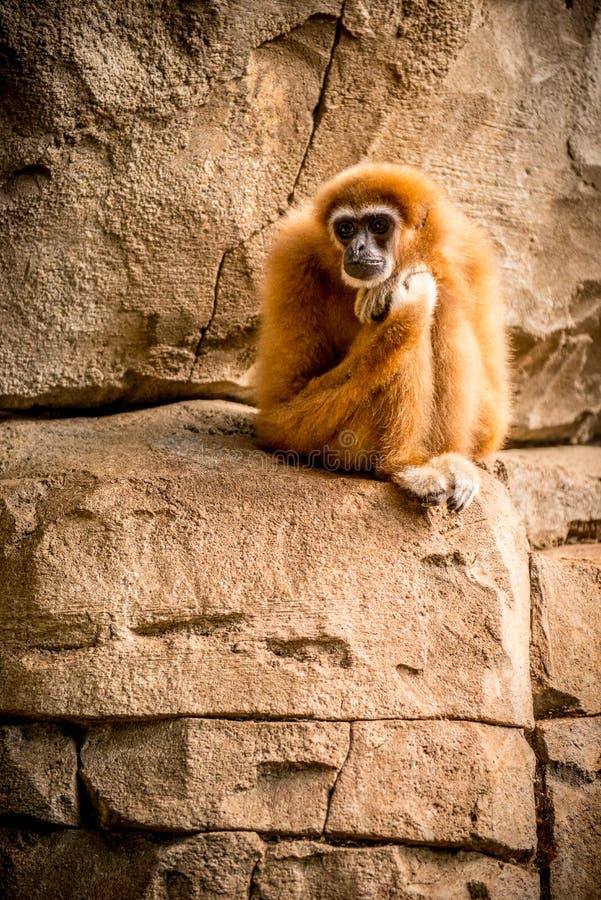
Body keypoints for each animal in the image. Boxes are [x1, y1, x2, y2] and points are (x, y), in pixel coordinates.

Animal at [254, 162, 510, 512]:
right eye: (346, 229)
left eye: (379, 225)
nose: (358, 247)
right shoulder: (294, 257)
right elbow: (282, 406)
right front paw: (401, 296)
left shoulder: (470, 253)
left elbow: (493, 421)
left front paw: (400, 276)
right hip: (341, 447)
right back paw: (406, 466)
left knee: (448, 309)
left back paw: (445, 460)